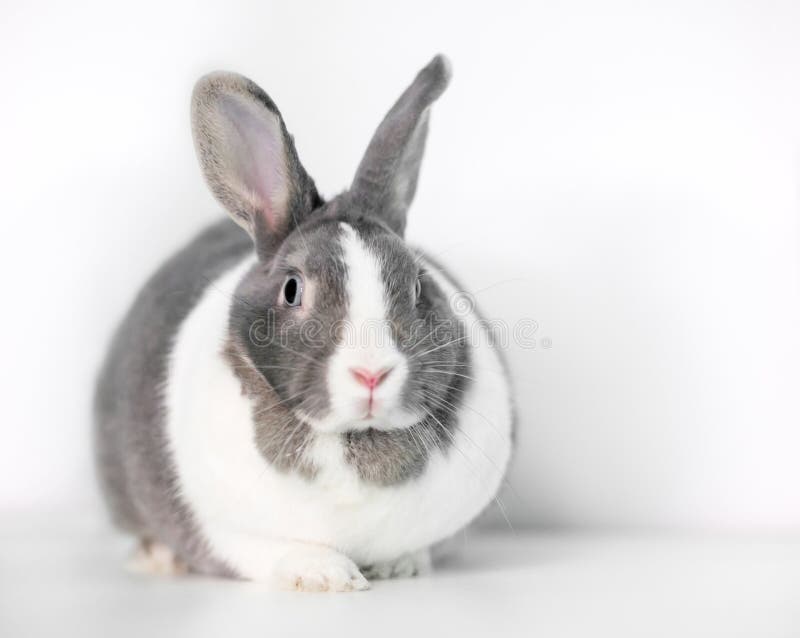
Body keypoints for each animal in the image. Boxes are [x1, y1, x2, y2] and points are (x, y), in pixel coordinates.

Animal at [94, 54, 513, 592]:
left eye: (419, 286)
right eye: (292, 289)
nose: (371, 374)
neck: (353, 437)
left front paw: (398, 566)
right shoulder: (229, 533)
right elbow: (276, 550)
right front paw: (327, 575)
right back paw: (159, 558)